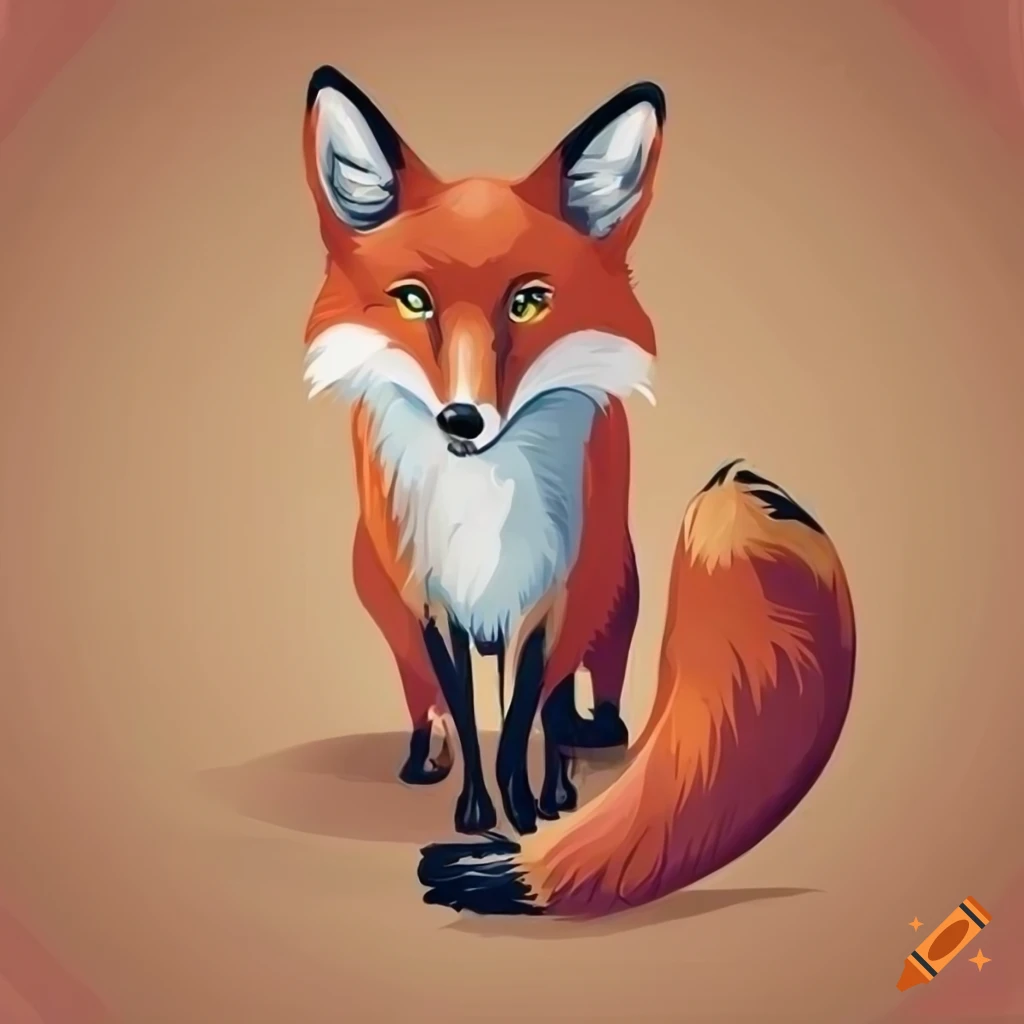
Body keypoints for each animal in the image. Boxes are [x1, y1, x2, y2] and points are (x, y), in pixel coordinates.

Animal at [300, 65, 856, 917]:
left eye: (529, 301)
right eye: (413, 300)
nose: (462, 418)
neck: (480, 503)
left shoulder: (550, 594)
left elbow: (524, 715)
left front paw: (526, 817)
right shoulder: (430, 601)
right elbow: (464, 707)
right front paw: (476, 811)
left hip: (612, 599)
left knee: (566, 712)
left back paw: (559, 787)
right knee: (427, 700)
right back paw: (426, 757)